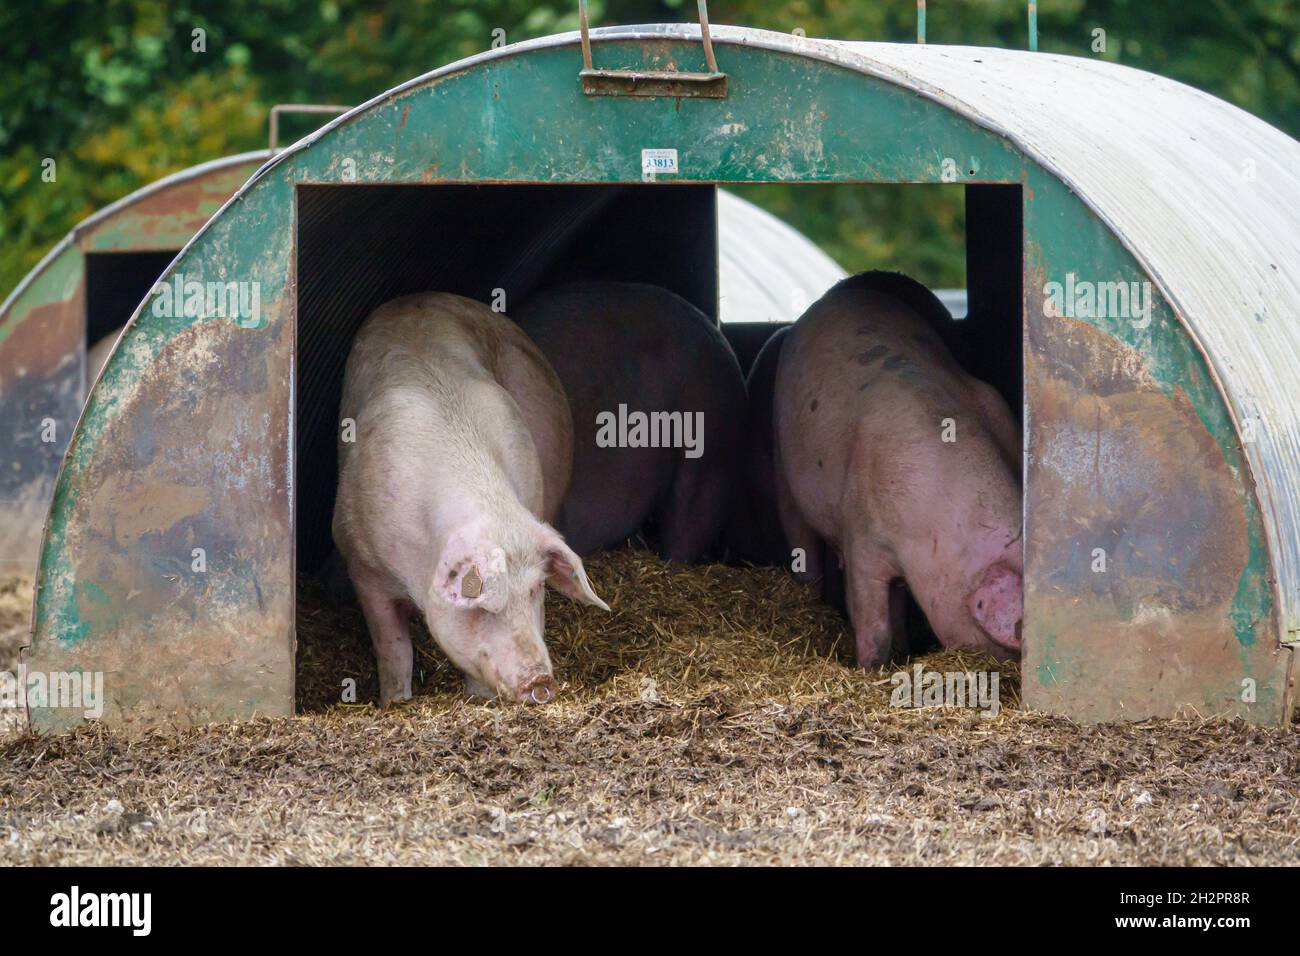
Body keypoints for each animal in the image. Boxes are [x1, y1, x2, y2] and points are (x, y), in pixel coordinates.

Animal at [332, 292, 609, 706]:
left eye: (535, 590)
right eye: (481, 601)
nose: (540, 681)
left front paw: (478, 701)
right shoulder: (363, 566)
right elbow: (394, 649)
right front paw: (394, 702)